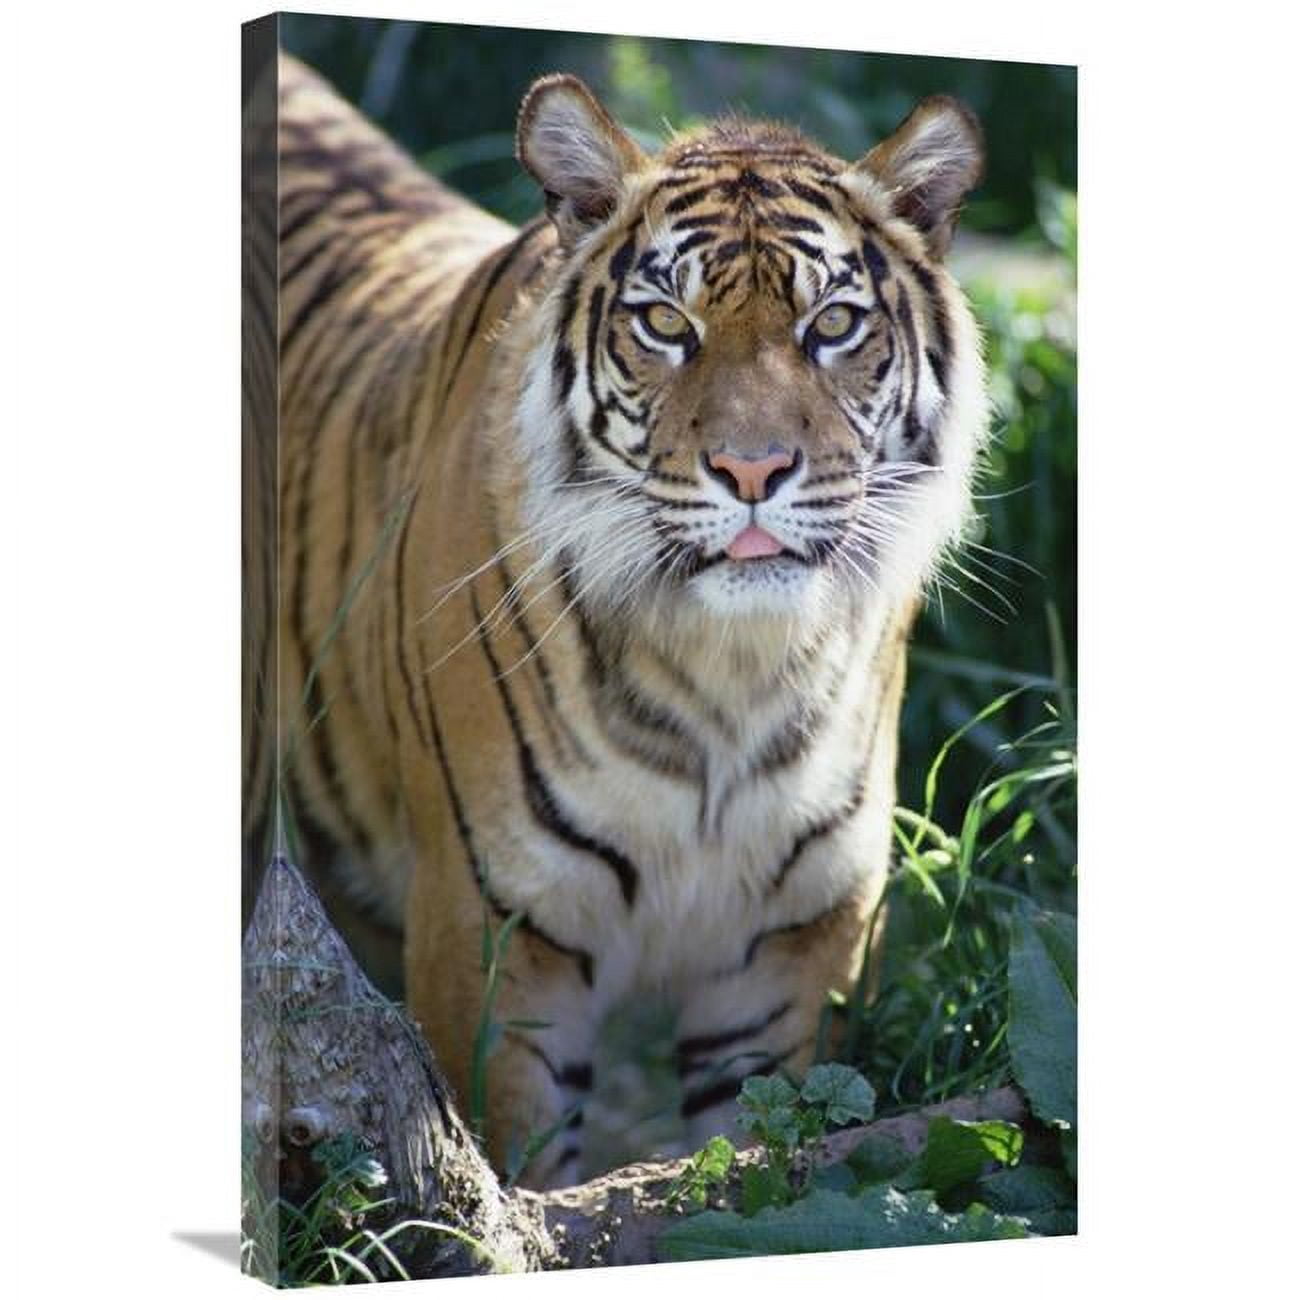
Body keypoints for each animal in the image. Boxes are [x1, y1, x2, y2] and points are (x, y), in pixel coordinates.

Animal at [256, 51, 987, 1189]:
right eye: (666, 326)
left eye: (831, 326)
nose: (752, 470)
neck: (730, 674)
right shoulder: (496, 937)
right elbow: (519, 1168)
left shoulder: (795, 947)